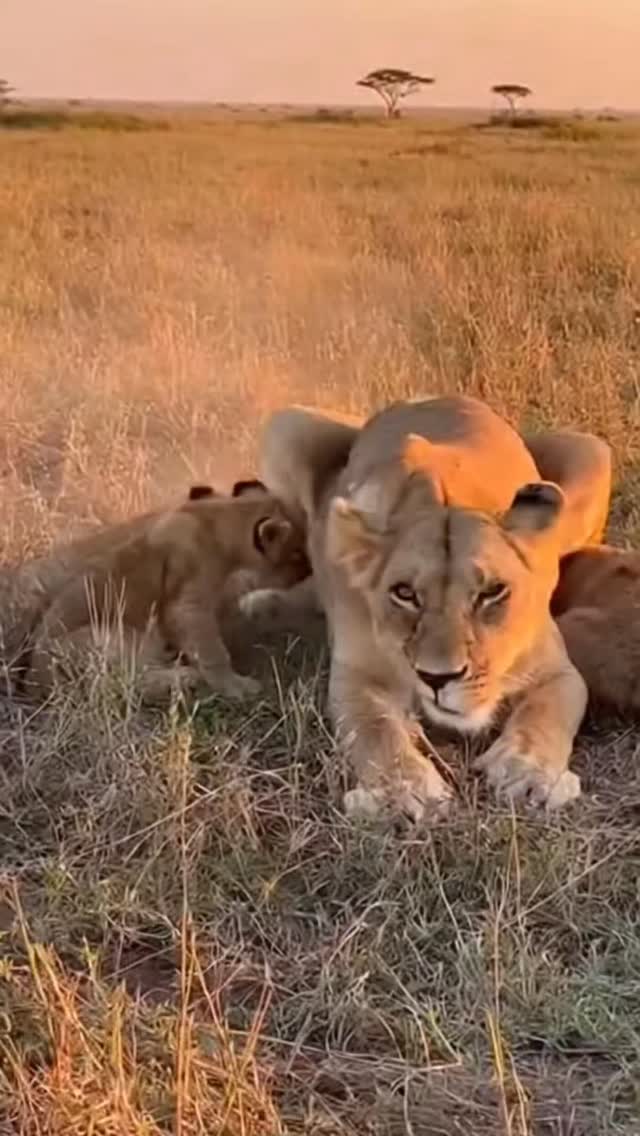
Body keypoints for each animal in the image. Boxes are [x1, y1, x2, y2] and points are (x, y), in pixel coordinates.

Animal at [7, 480, 310, 701]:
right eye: (299, 551)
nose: (312, 568)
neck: (222, 516)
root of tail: (34, 682)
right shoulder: (187, 606)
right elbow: (213, 652)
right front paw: (237, 686)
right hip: (113, 636)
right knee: (125, 681)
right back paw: (184, 677)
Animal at [244, 395, 612, 821]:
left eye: (491, 592)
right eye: (405, 593)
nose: (439, 679)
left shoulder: (557, 670)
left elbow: (548, 710)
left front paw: (526, 770)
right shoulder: (356, 676)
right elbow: (375, 729)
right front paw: (404, 791)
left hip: (591, 449)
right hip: (284, 426)